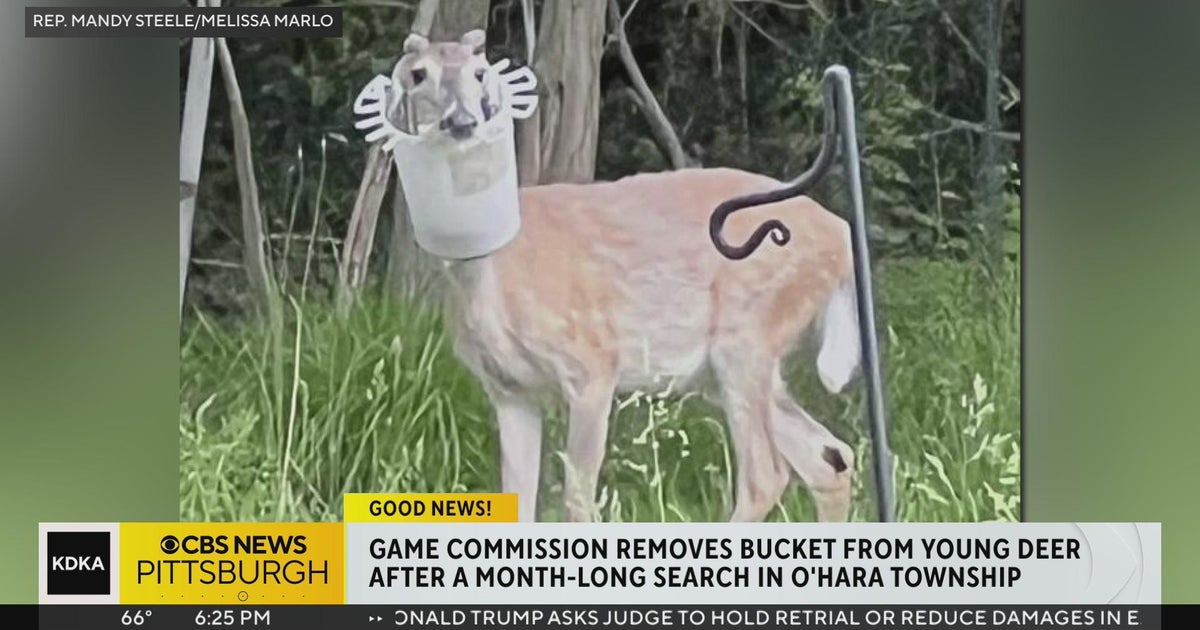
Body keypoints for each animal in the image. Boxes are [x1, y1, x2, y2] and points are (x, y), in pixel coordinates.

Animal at [387, 30, 862, 524]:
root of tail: (840, 233)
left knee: (767, 473)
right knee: (830, 456)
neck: (494, 277)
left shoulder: (593, 363)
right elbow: (516, 500)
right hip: (725, 368)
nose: (461, 121)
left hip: (748, 331)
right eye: (417, 73)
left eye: (481, 72)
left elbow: (578, 498)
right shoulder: (509, 389)